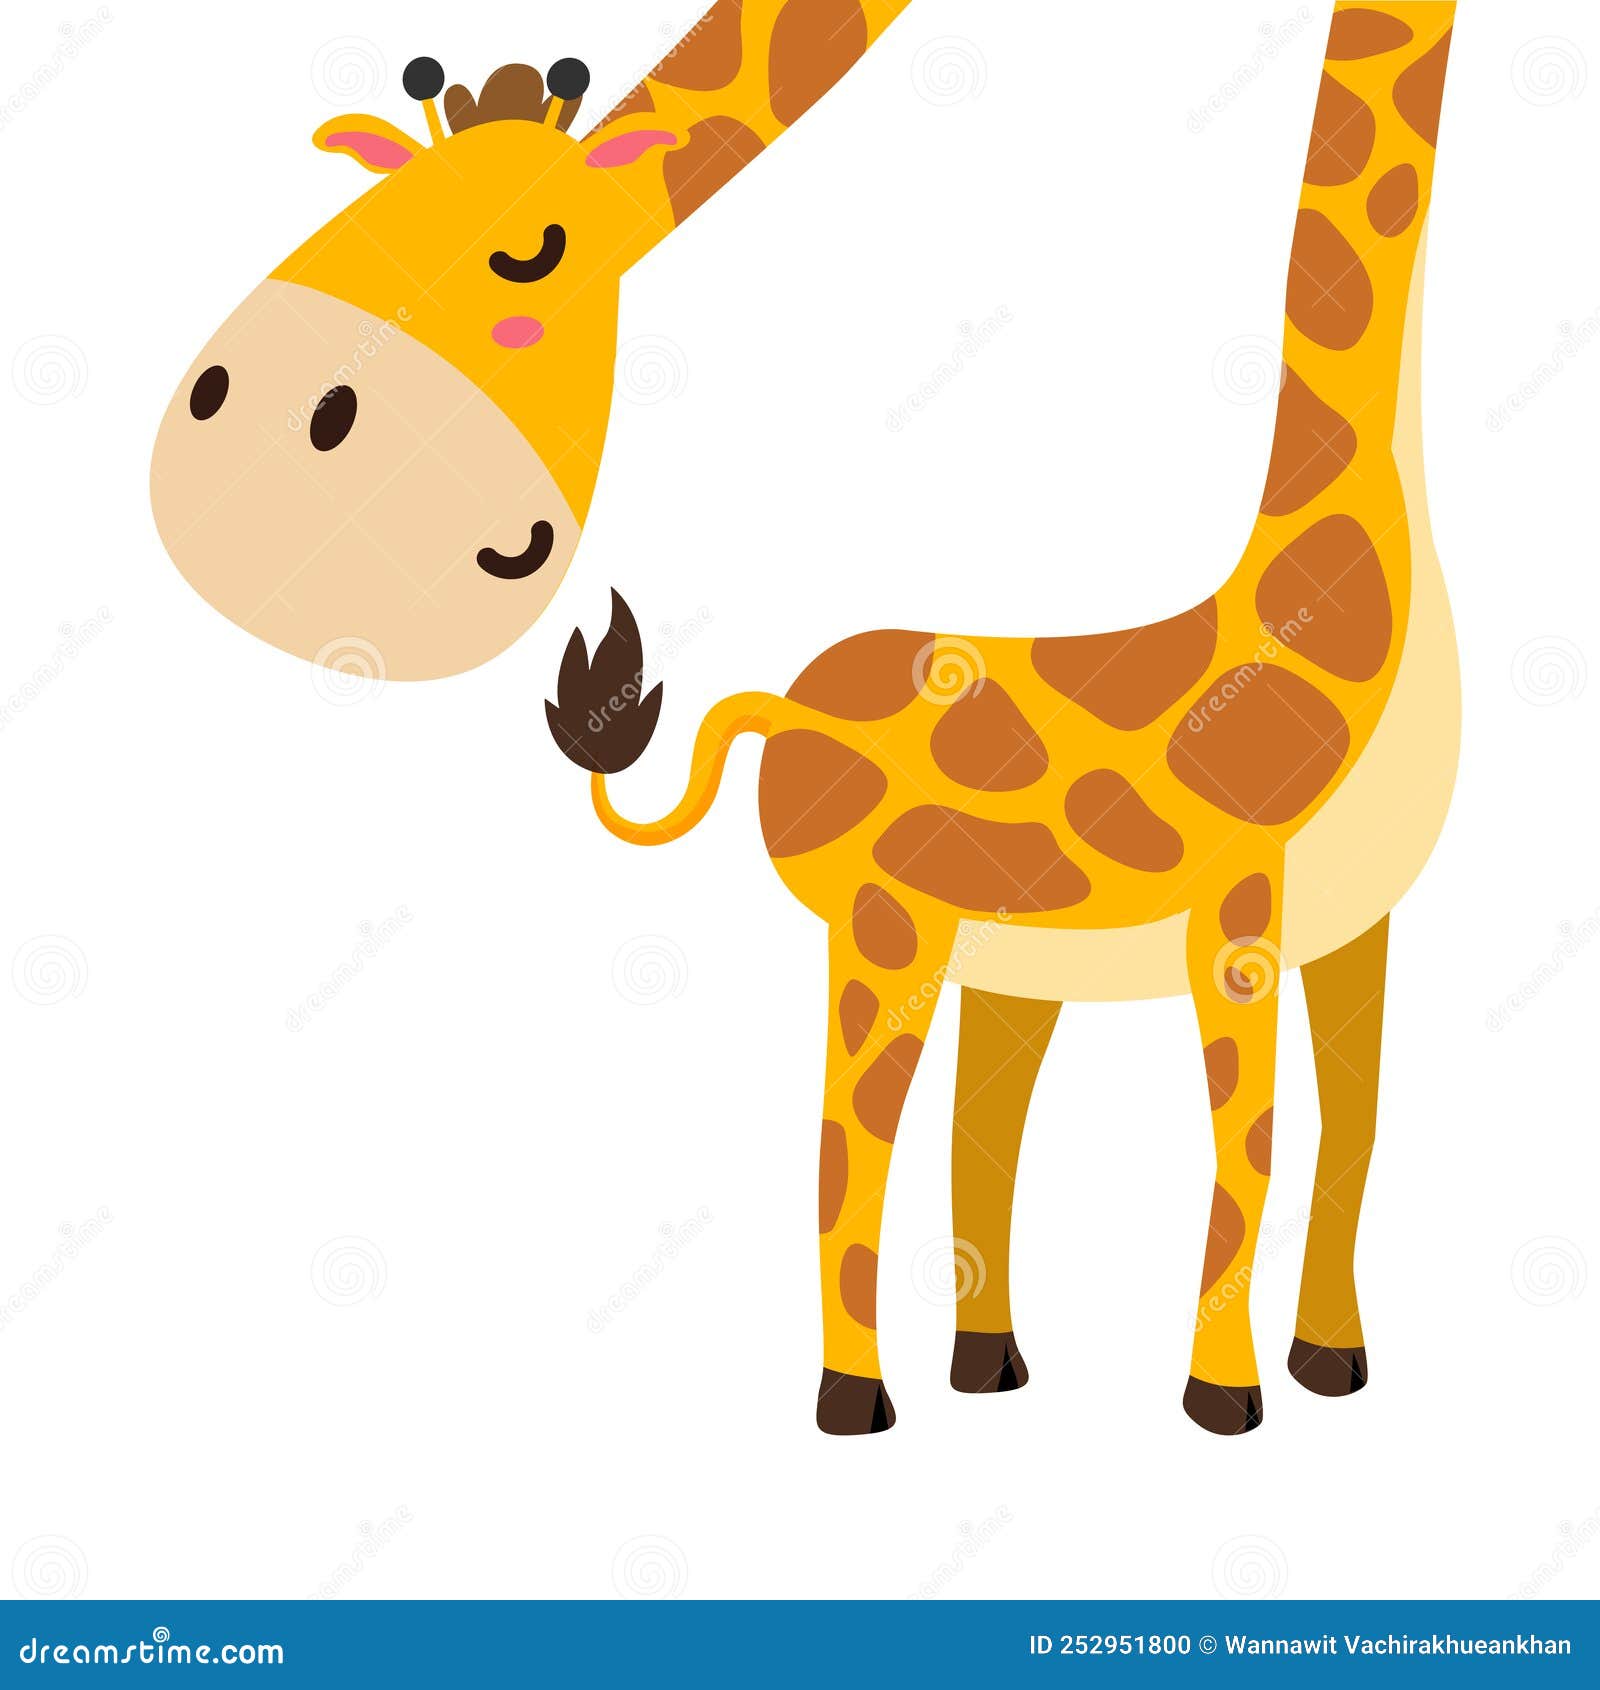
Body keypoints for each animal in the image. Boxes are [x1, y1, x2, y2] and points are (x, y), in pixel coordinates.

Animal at [549, 3, 1460, 1434]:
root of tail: (777, 707)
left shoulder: (1359, 917)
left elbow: (1354, 1130)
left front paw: (1333, 1363)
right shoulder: (1240, 908)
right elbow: (1250, 1140)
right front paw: (1222, 1396)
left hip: (1001, 959)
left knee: (972, 1135)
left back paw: (989, 1367)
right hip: (882, 929)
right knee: (842, 1143)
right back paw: (856, 1398)